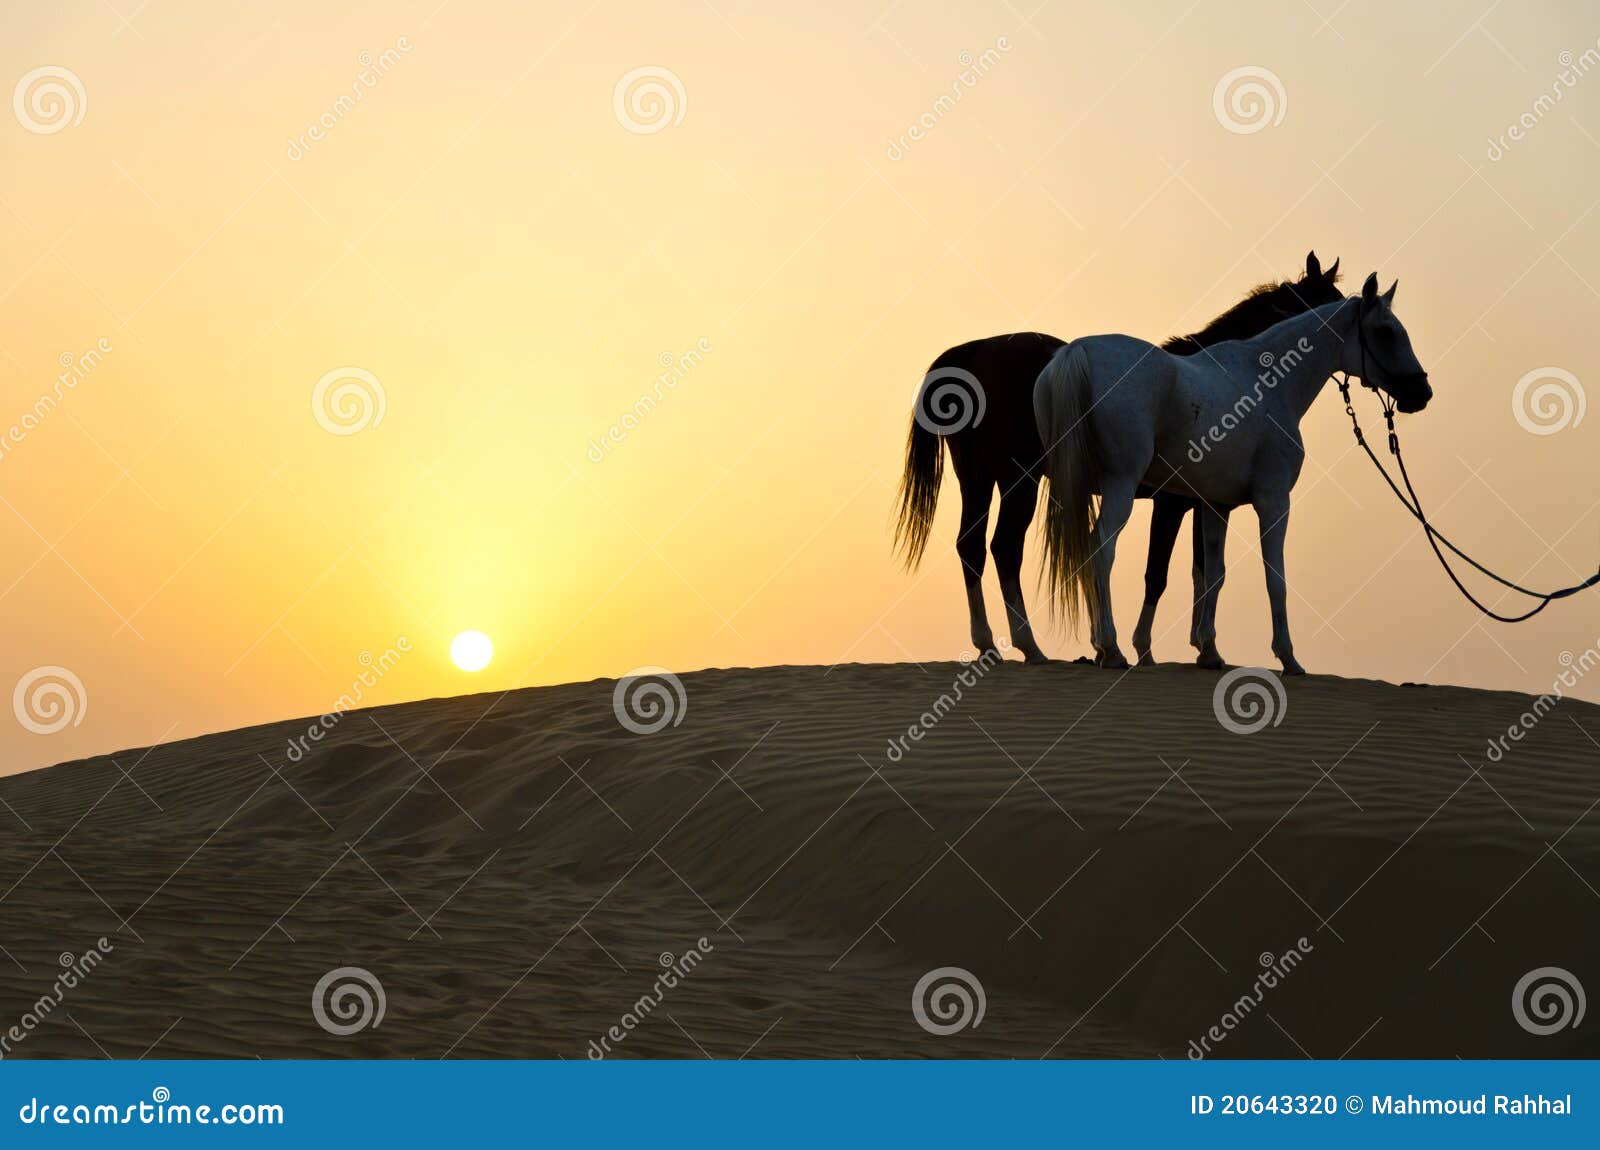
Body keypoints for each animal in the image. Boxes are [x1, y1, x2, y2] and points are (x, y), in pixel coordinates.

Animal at [893, 251, 1343, 665]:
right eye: (1330, 302)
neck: (1214, 383)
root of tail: (968, 355)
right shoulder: (1171, 505)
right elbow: (1158, 574)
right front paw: (1145, 648)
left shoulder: (1201, 501)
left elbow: (1202, 570)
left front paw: (1202, 646)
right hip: (1019, 482)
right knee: (1005, 548)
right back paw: (1029, 645)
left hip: (978, 479)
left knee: (971, 547)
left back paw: (989, 642)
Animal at [1034, 271, 1432, 674]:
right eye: (1385, 331)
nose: (1422, 392)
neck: (1268, 382)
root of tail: (1076, 352)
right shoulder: (1272, 502)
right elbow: (1274, 577)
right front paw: (1287, 655)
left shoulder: (1214, 506)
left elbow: (1213, 574)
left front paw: (1208, 649)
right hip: (1120, 485)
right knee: (1101, 550)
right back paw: (1111, 648)